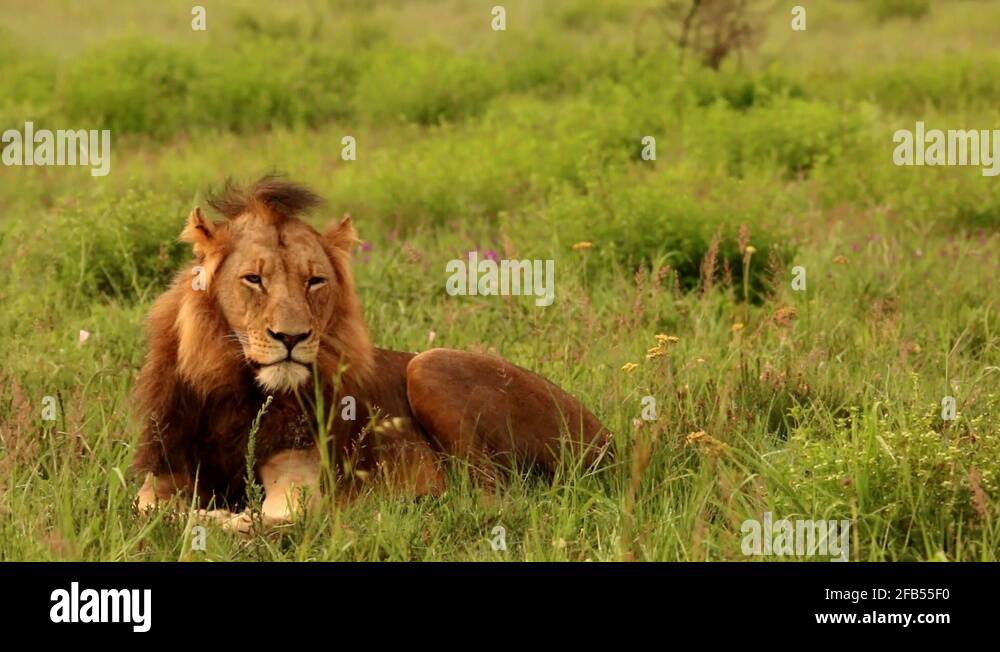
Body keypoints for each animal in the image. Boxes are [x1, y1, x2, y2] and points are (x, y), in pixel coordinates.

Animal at [131, 177, 610, 531]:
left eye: (315, 281)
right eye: (254, 279)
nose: (292, 337)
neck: (235, 386)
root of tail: (607, 436)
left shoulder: (299, 480)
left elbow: (259, 518)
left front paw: (215, 519)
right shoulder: (165, 470)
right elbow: (148, 507)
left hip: (430, 366)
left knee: (492, 497)